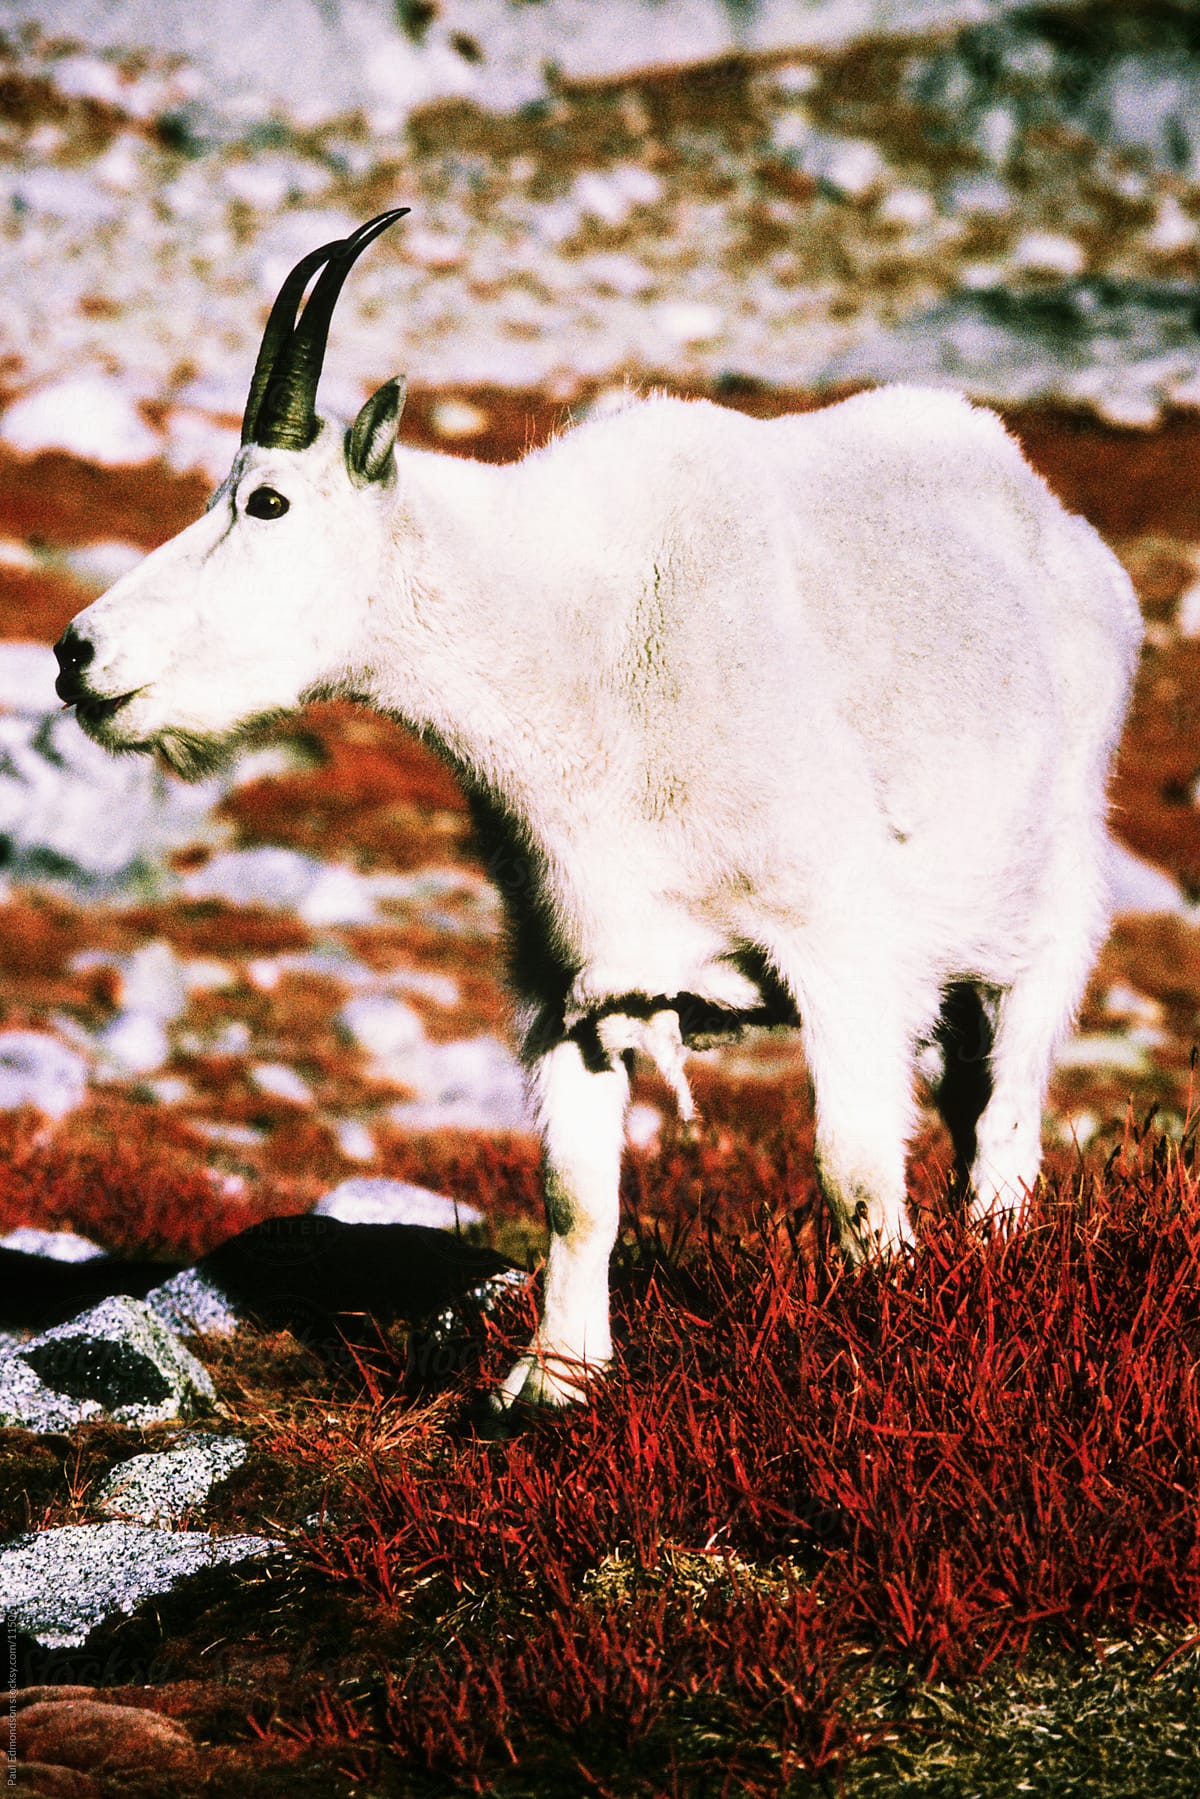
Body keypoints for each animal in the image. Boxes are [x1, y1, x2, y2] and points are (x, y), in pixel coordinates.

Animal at [55, 210, 1142, 1407]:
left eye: (267, 501)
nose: (76, 653)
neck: (580, 638)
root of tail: (1076, 544)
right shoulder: (562, 977)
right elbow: (575, 1193)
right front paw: (554, 1381)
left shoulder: (843, 949)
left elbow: (853, 1173)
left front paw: (889, 1352)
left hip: (1054, 898)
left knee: (1008, 1112)